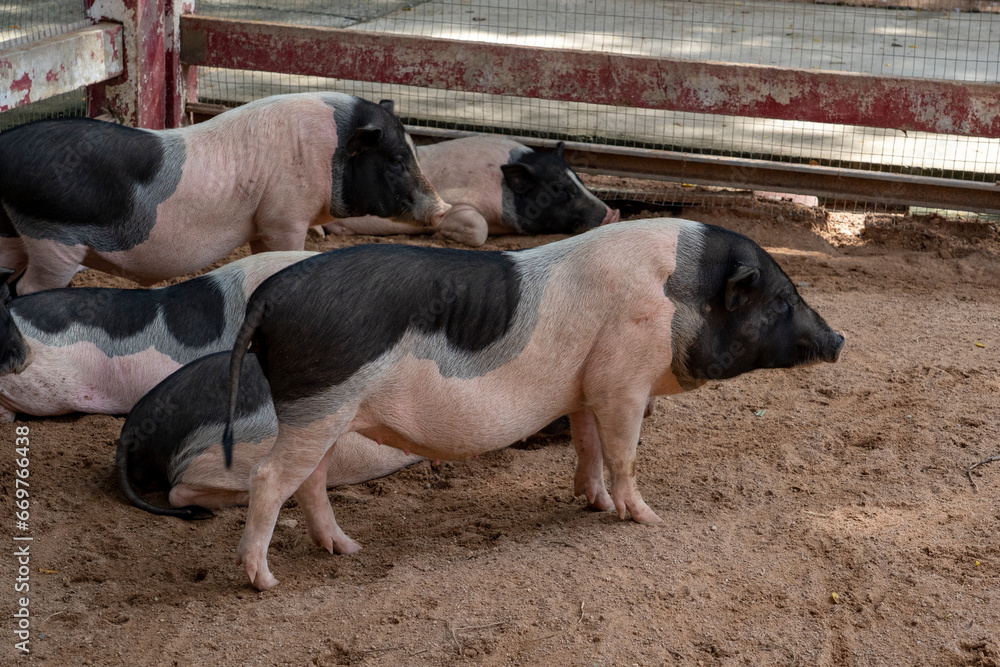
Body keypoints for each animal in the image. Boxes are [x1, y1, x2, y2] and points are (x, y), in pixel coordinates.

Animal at [0, 93, 450, 294]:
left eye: (414, 150)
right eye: (396, 159)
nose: (444, 208)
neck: (331, 151)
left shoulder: (261, 224)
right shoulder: (285, 216)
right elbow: (289, 250)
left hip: (15, 236)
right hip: (52, 239)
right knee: (27, 291)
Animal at [223, 218, 846, 590]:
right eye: (783, 298)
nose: (840, 339)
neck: (679, 298)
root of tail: (268, 297)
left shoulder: (587, 387)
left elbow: (587, 446)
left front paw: (594, 503)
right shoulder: (622, 380)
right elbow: (623, 453)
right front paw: (646, 517)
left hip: (330, 414)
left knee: (310, 480)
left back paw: (346, 550)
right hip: (319, 404)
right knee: (267, 477)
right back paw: (265, 581)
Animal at [321, 137, 619, 246]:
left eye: (578, 178)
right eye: (558, 188)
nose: (613, 213)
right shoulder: (454, 202)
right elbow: (480, 228)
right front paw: (440, 235)